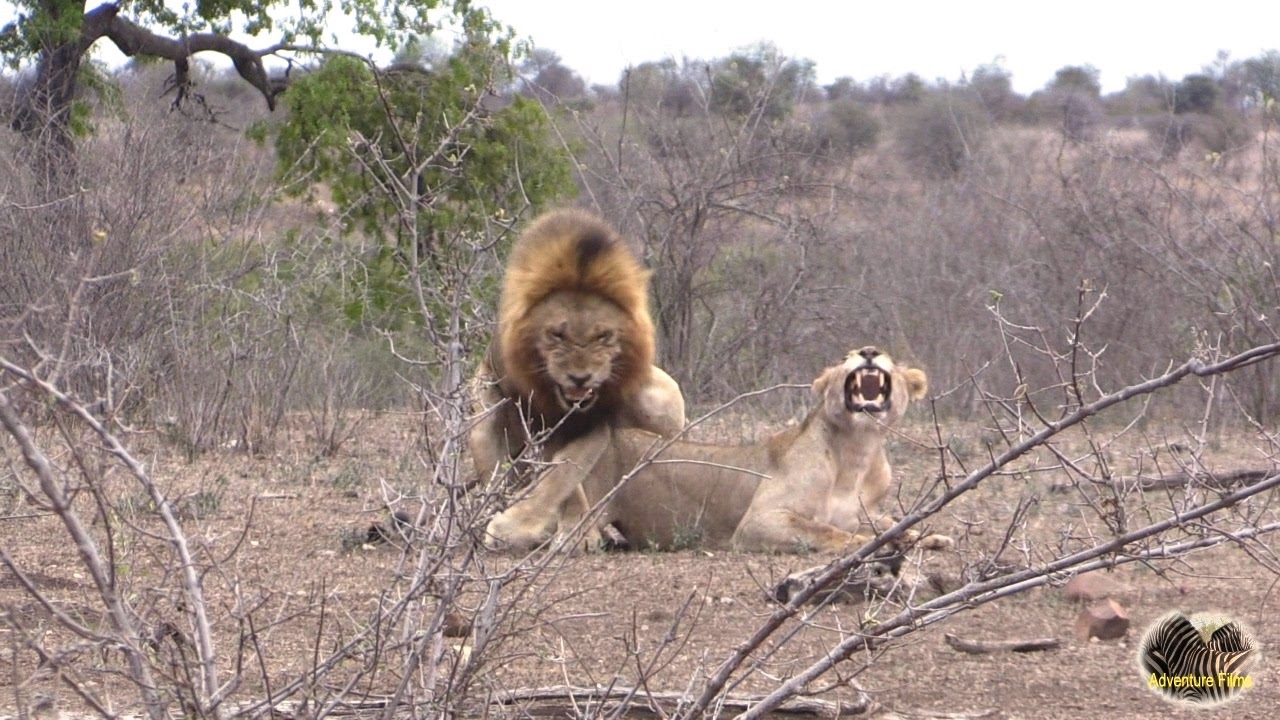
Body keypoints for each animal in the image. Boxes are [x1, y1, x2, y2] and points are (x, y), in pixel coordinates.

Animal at [485, 346, 952, 554]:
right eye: (846, 356)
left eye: (884, 355)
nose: (869, 352)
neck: (857, 451)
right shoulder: (759, 522)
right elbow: (830, 532)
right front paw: (878, 544)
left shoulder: (868, 509)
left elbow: (896, 522)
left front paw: (929, 535)